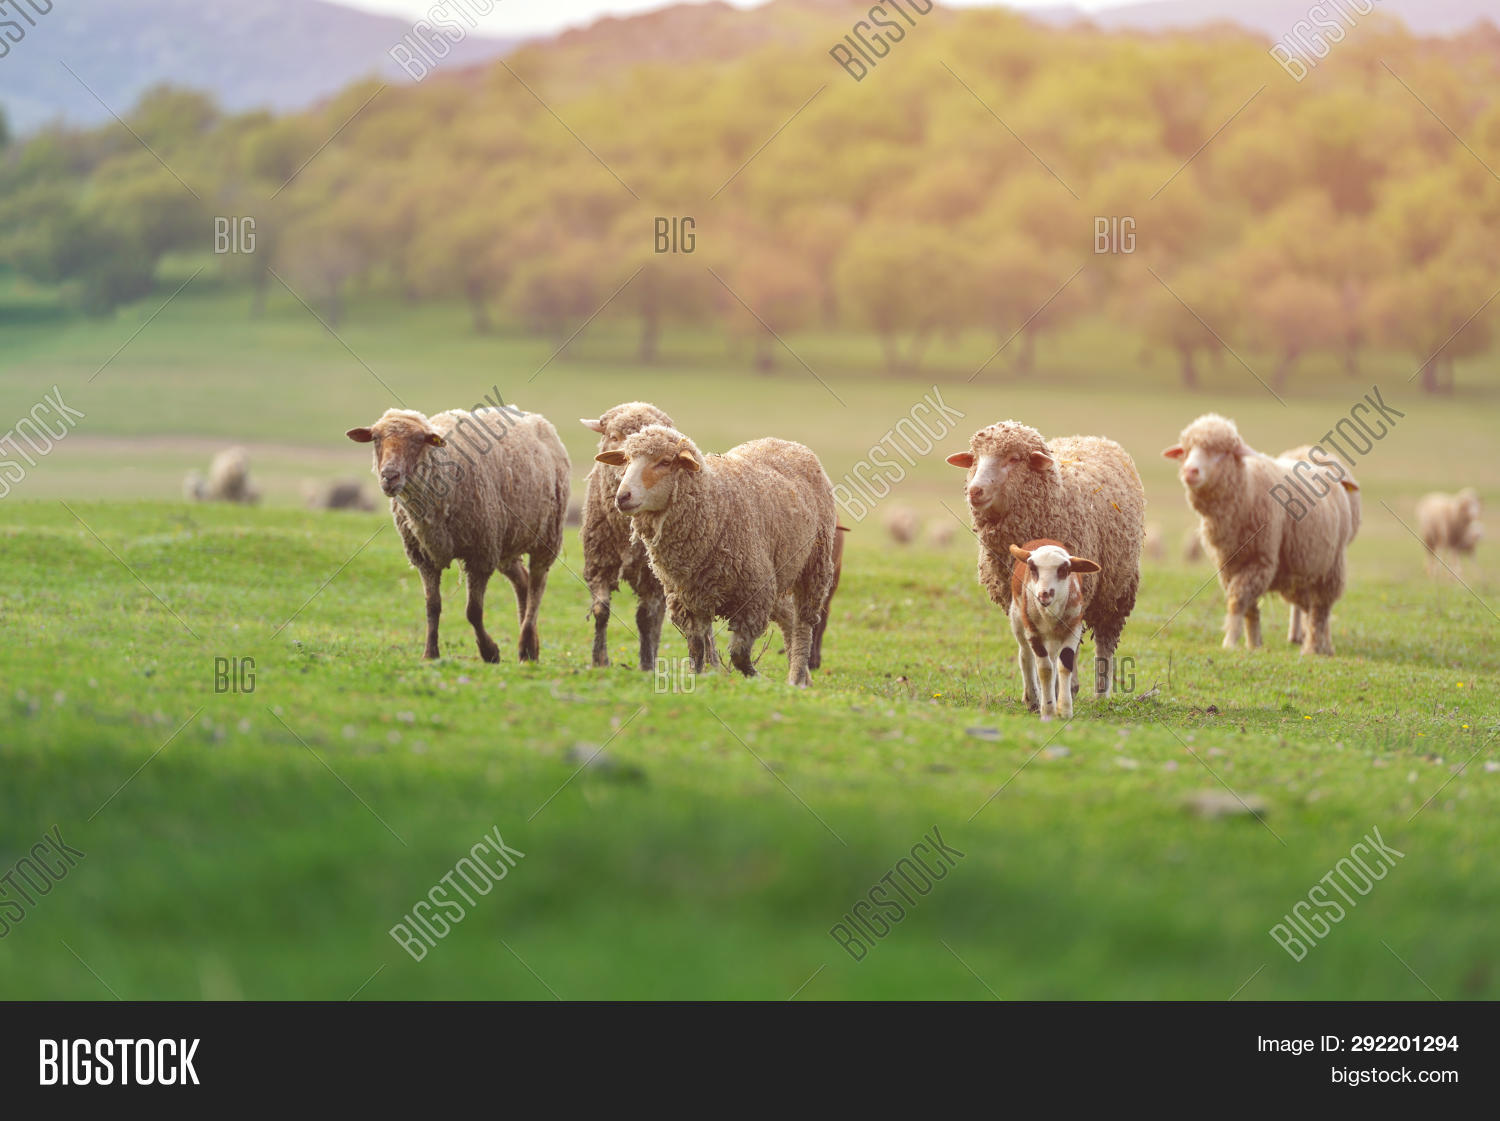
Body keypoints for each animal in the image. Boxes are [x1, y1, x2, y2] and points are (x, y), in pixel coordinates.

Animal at [346, 405, 569, 663]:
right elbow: (432, 606)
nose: (389, 476)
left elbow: (473, 611)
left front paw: (490, 652)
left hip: (546, 535)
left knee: (536, 588)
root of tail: (534, 417)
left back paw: (525, 642)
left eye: (417, 440)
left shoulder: (480, 555)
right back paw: (530, 649)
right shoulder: (425, 559)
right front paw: (430, 653)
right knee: (522, 582)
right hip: (506, 542)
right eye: (376, 438)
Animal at [579, 402, 676, 670]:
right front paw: (600, 660)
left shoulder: (651, 577)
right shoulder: (599, 564)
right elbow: (601, 610)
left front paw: (646, 663)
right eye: (614, 437)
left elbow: (646, 618)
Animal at [595, 424, 836, 687]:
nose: (622, 497)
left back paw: (796, 678)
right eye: (627, 460)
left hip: (815, 562)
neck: (714, 505)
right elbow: (696, 647)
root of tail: (786, 442)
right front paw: (698, 677)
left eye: (665, 462)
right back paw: (805, 677)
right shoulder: (688, 600)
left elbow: (739, 653)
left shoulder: (755, 596)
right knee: (788, 616)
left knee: (803, 624)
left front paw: (756, 677)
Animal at [1007, 540, 1101, 721]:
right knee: (1026, 656)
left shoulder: (1074, 628)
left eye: (1063, 570)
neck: (1049, 612)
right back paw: (1032, 699)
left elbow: (1064, 664)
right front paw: (1048, 710)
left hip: (1053, 637)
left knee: (1051, 658)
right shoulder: (1033, 632)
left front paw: (1064, 710)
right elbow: (1044, 669)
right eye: (1032, 568)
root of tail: (1043, 540)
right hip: (1017, 620)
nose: (1044, 594)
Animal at [1163, 414, 1359, 655]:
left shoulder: (1261, 560)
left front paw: (1230, 642)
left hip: (1331, 566)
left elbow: (1238, 600)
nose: (1190, 471)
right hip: (1300, 571)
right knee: (1309, 607)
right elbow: (1249, 607)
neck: (1246, 490)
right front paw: (1253, 643)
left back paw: (1313, 648)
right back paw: (1322, 645)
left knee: (1320, 609)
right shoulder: (1229, 566)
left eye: (1222, 451)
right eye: (1187, 450)